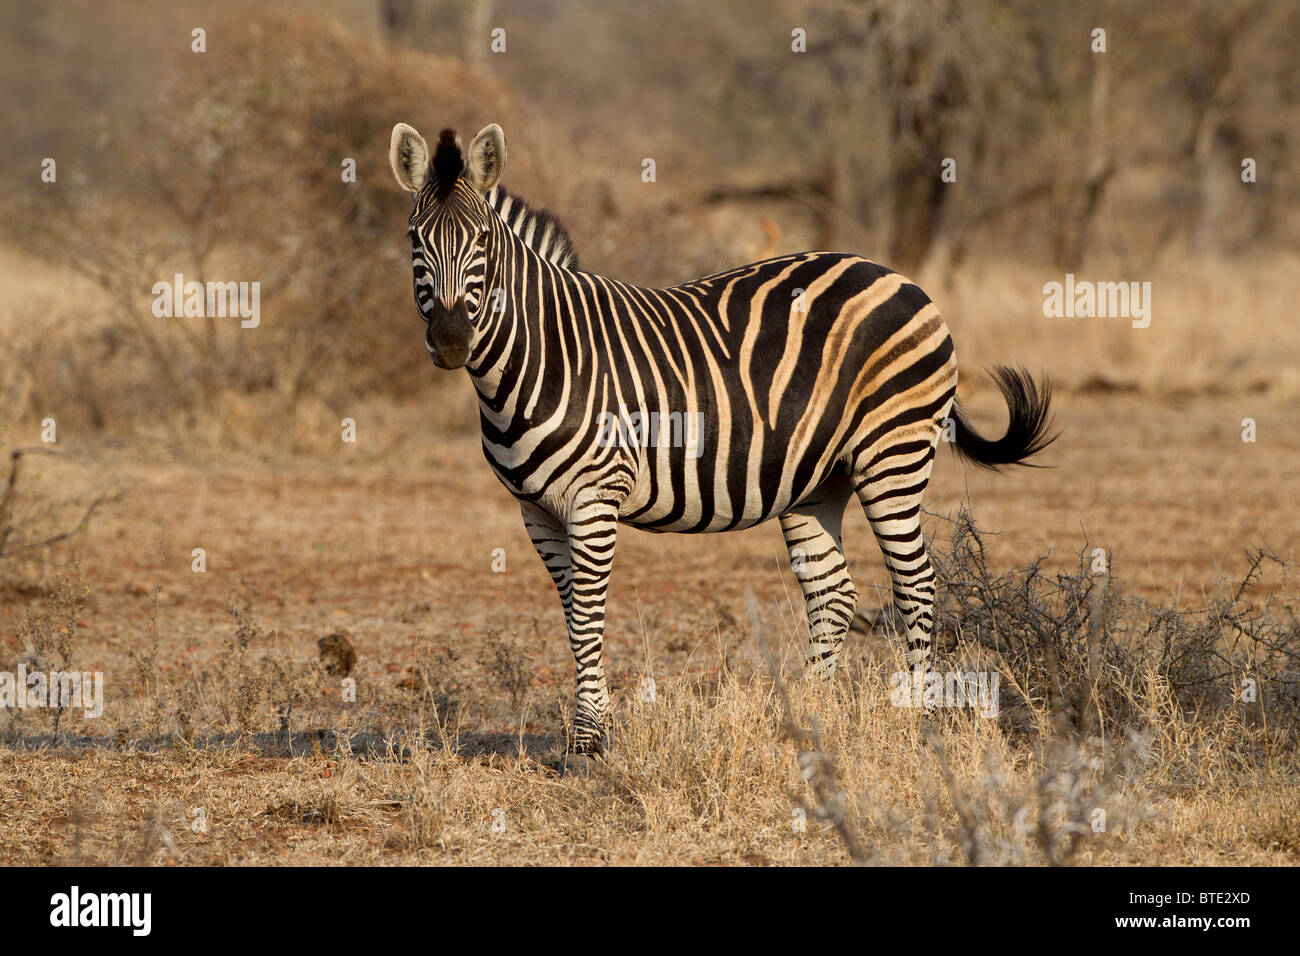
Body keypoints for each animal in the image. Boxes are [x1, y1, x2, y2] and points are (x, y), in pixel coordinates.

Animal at [389, 122, 1056, 755]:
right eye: (414, 240)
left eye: (482, 241)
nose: (450, 340)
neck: (541, 358)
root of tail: (899, 277)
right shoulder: (535, 510)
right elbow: (573, 615)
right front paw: (588, 736)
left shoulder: (595, 496)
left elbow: (588, 614)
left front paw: (588, 742)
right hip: (818, 477)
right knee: (833, 591)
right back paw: (809, 719)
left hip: (892, 453)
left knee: (915, 580)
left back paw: (914, 719)